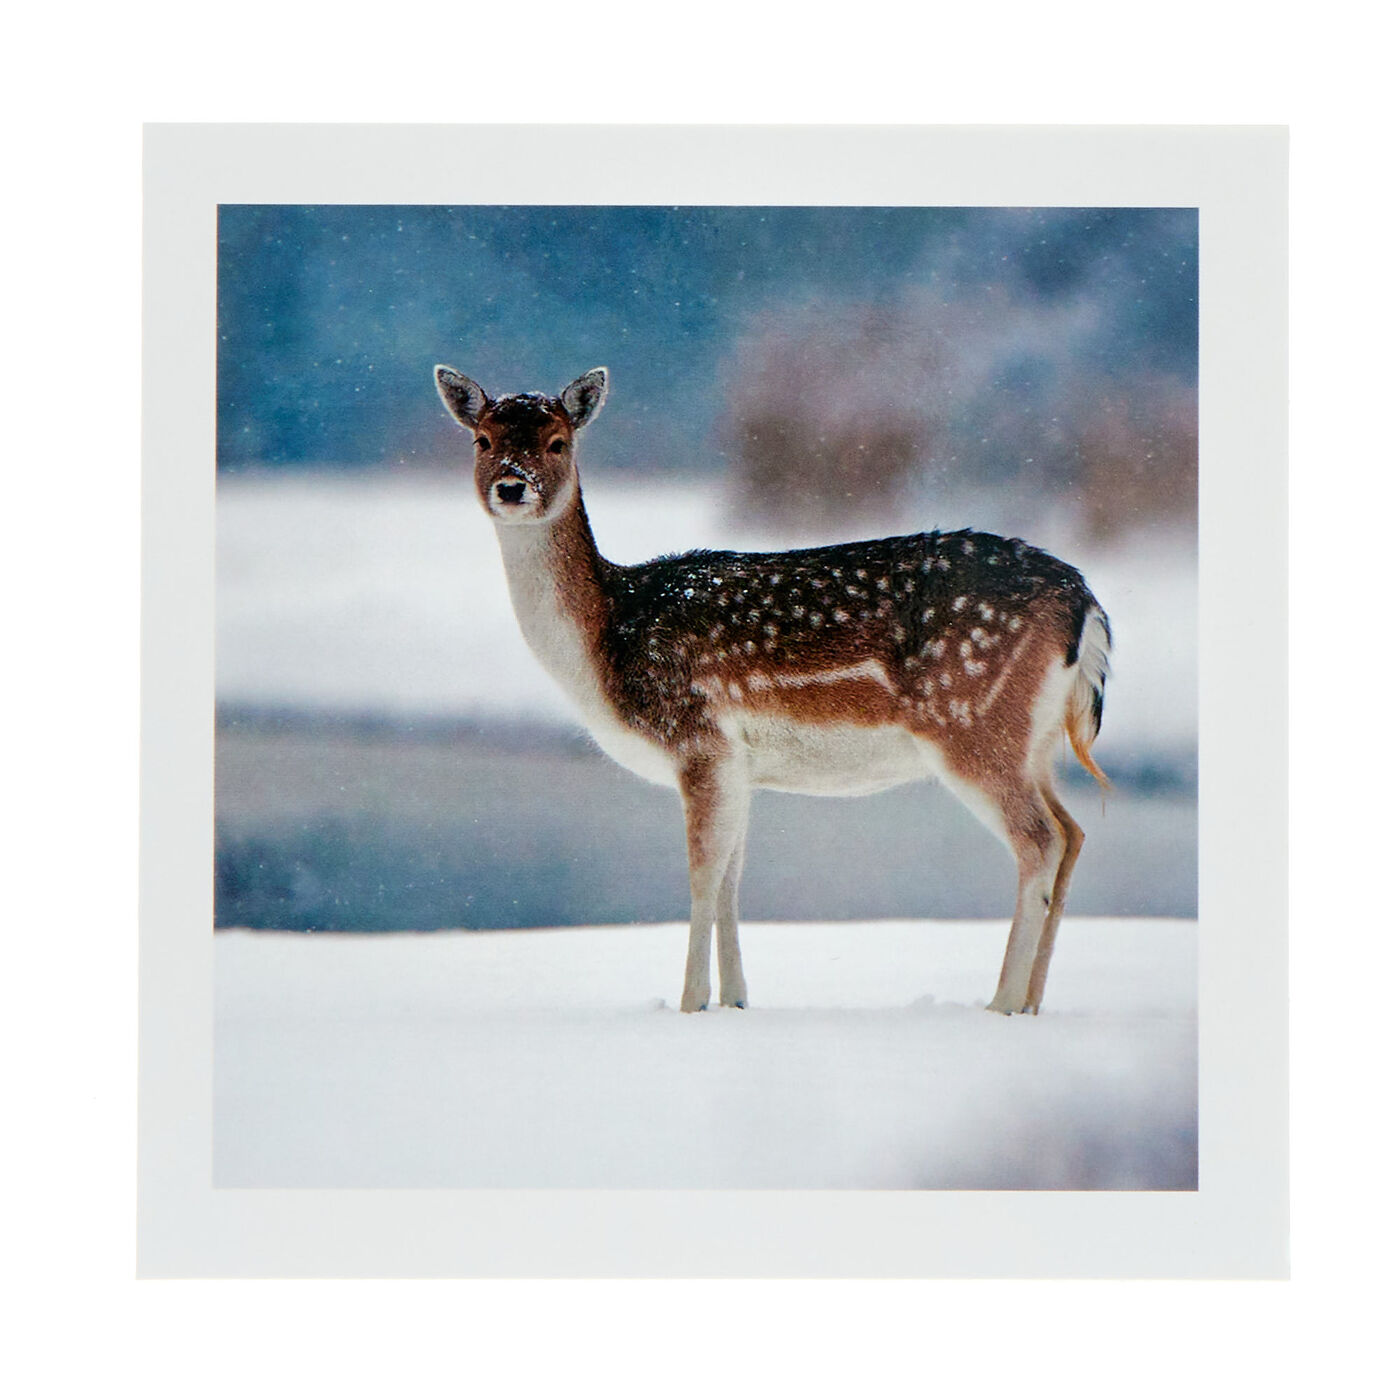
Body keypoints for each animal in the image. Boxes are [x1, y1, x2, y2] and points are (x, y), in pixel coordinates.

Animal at [434, 365, 1112, 1015]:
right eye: (482, 440)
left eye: (558, 442)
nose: (512, 486)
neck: (609, 645)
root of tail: (1084, 604)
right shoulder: (739, 764)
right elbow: (732, 881)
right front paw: (736, 1000)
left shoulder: (699, 740)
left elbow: (702, 877)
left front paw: (689, 1005)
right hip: (1033, 737)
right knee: (1074, 832)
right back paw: (1032, 1002)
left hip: (970, 719)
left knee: (1039, 841)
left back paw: (1000, 1003)